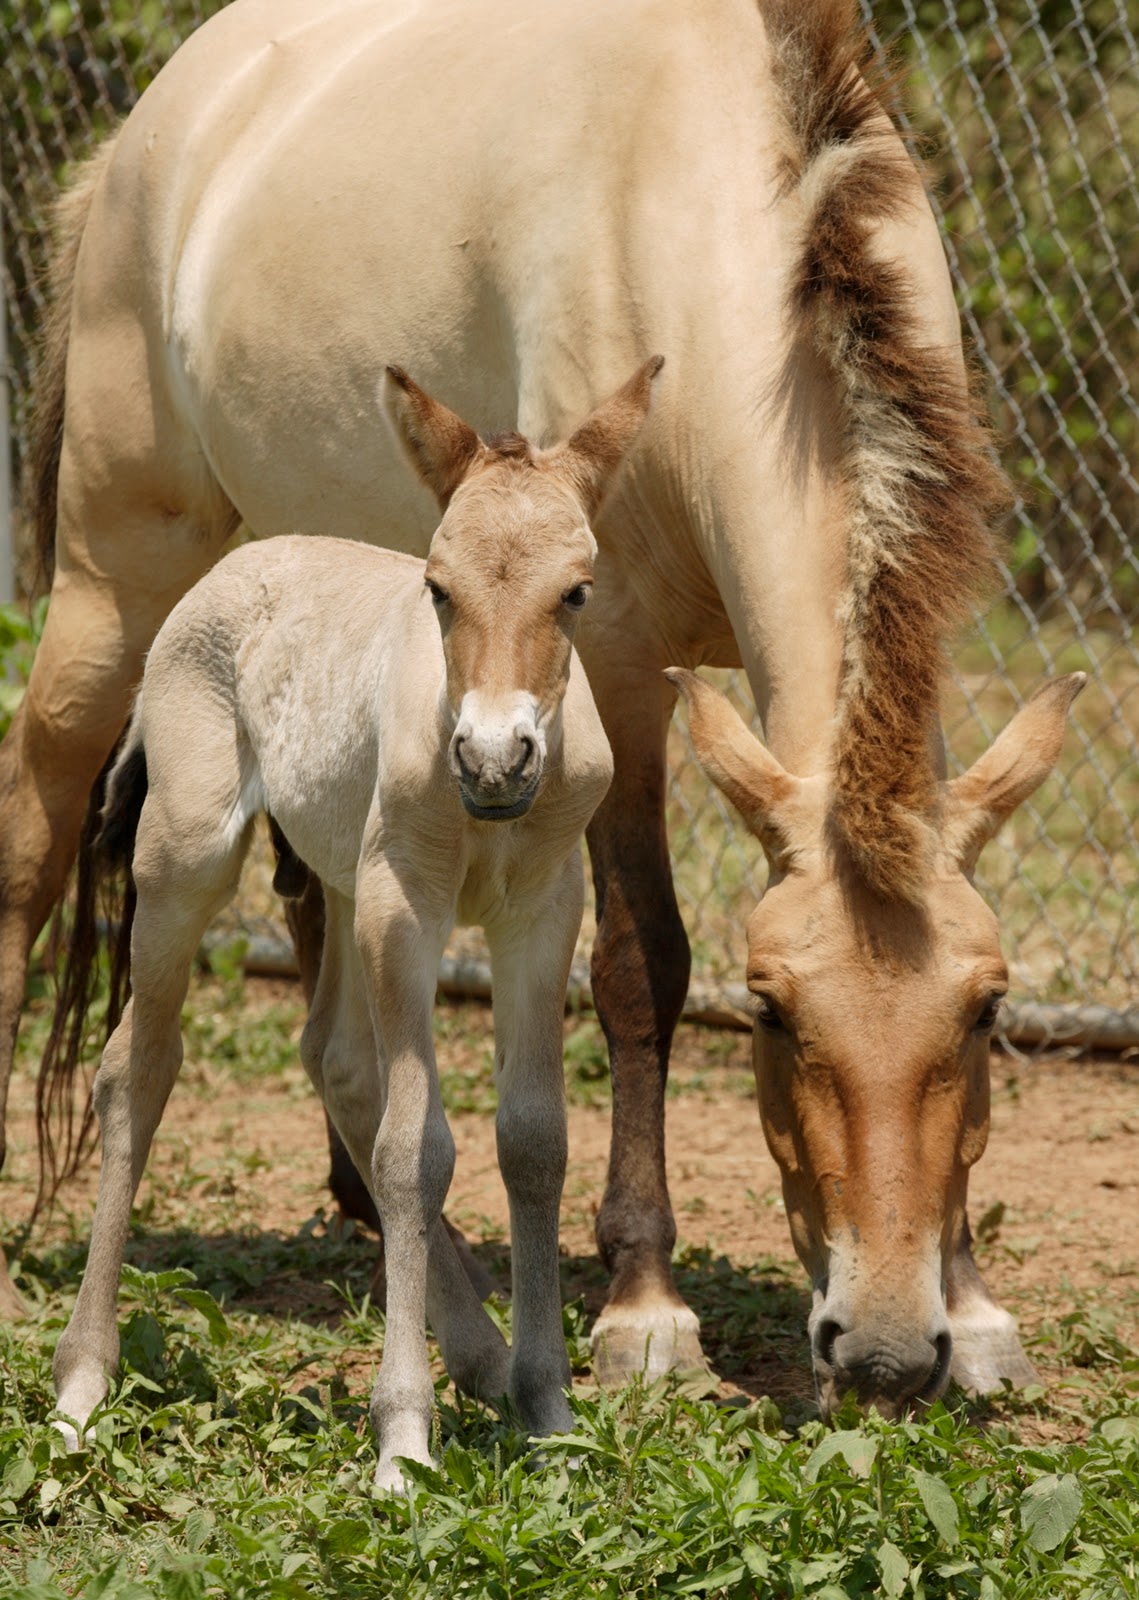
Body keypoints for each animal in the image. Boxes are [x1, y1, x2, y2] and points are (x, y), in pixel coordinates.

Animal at [51, 363, 643, 1489]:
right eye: (438, 589)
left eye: (577, 592)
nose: (492, 758)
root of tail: (239, 565)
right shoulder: (402, 903)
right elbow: (417, 1146)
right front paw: (402, 1440)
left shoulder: (542, 912)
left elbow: (532, 1139)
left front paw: (546, 1407)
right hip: (189, 862)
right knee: (136, 1070)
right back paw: (79, 1387)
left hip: (331, 875)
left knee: (335, 1061)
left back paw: (482, 1356)